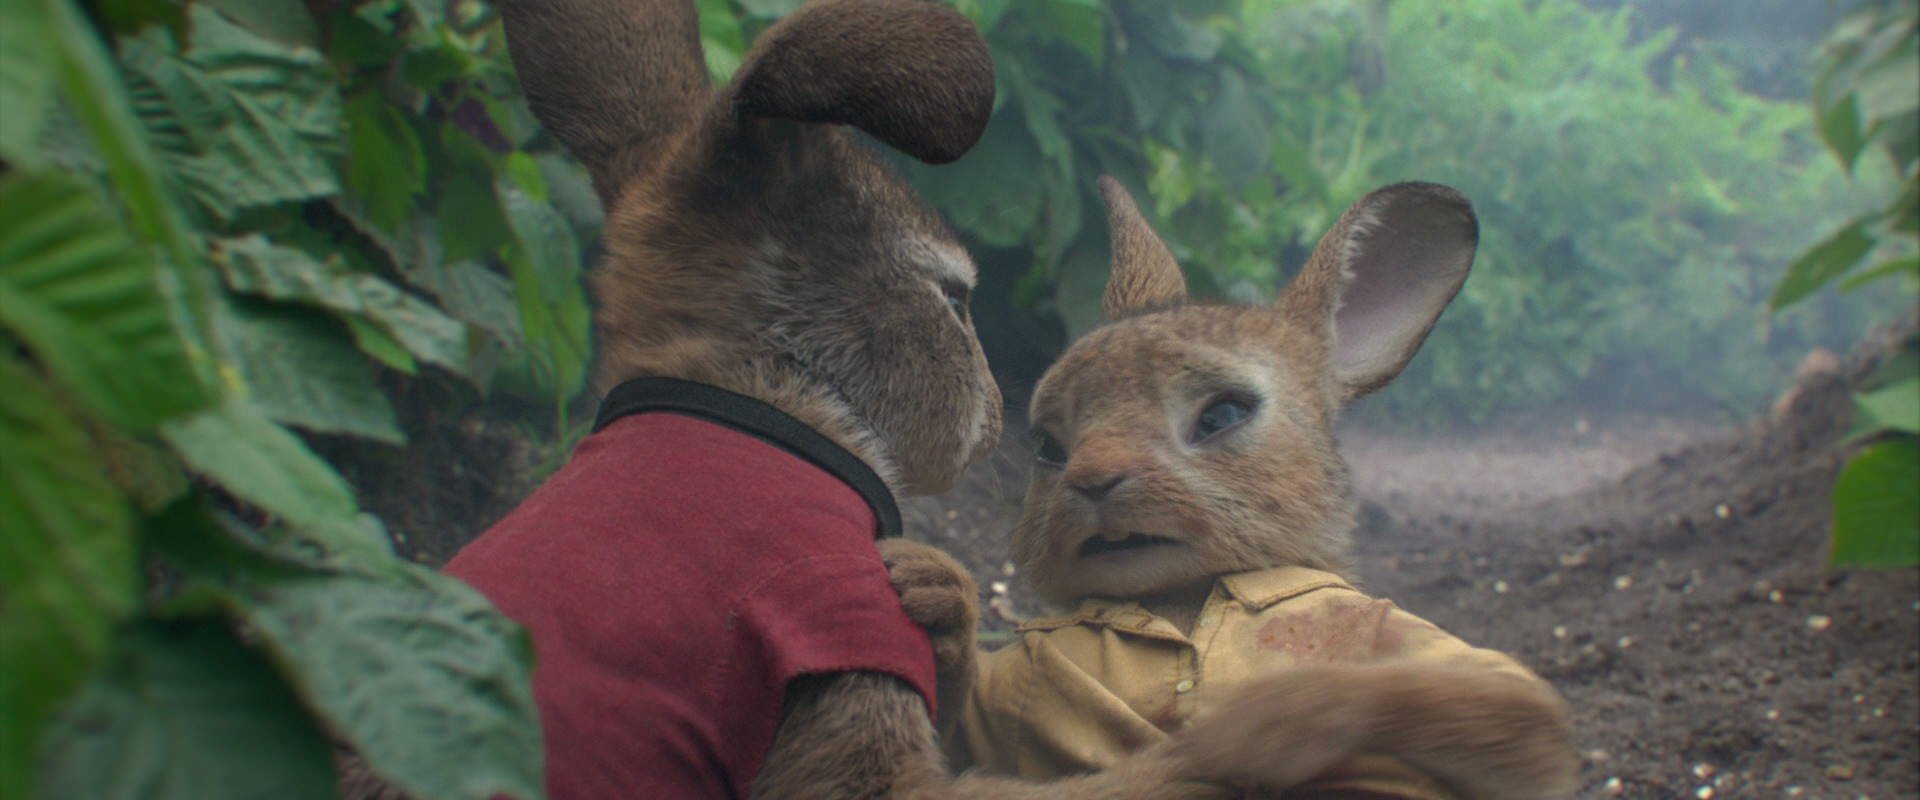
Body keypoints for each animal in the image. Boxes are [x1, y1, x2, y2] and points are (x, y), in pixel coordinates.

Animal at [945, 177, 1580, 800]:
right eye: (1048, 445)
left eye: (1222, 415)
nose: (1093, 479)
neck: (1180, 597)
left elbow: (1509, 708)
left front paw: (1251, 730)